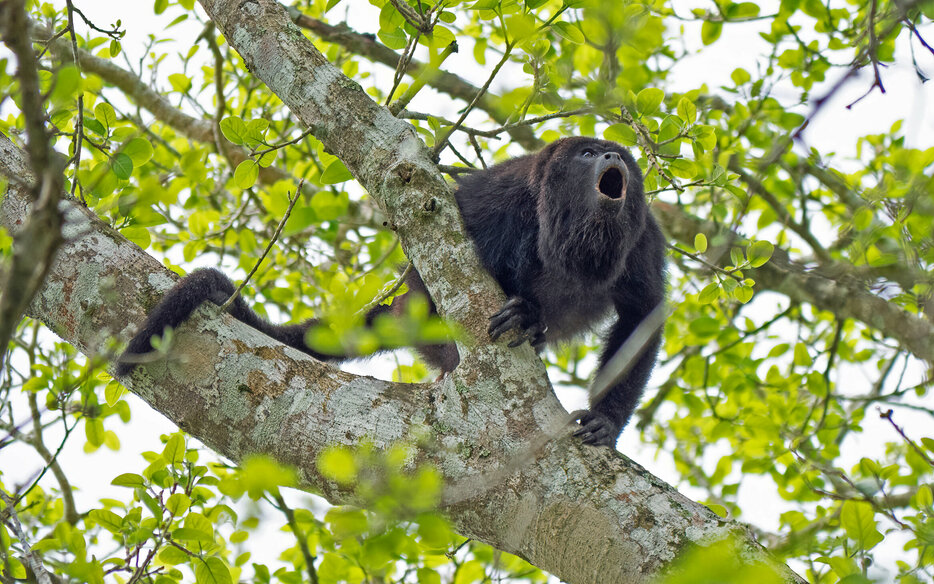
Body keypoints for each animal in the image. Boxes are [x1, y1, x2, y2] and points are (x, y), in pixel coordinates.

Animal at [117, 136, 666, 447]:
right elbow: (444, 260)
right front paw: (526, 313)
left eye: (616, 155)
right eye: (587, 154)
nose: (612, 155)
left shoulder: (643, 234)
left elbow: (643, 312)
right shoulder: (507, 198)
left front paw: (605, 422)